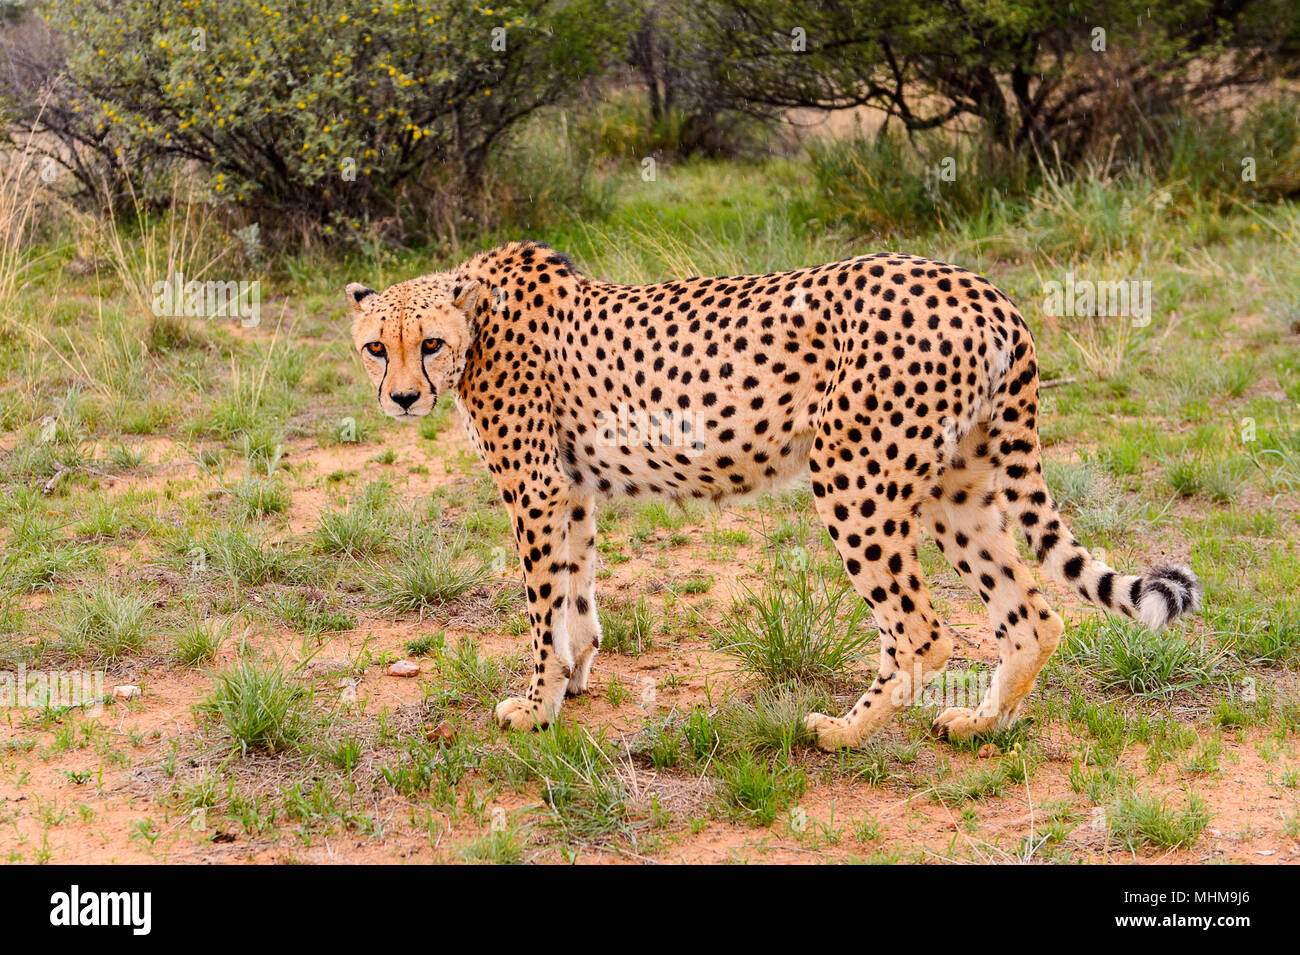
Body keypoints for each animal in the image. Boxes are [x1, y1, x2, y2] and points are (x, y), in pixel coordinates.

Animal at [346, 241, 1201, 749]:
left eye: (429, 343)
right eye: (374, 347)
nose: (402, 398)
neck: (478, 322)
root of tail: (979, 286)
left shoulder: (534, 488)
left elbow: (538, 608)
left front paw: (535, 702)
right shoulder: (573, 488)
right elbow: (576, 594)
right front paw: (576, 674)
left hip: (853, 474)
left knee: (922, 629)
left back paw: (843, 731)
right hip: (959, 484)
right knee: (1032, 613)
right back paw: (981, 725)